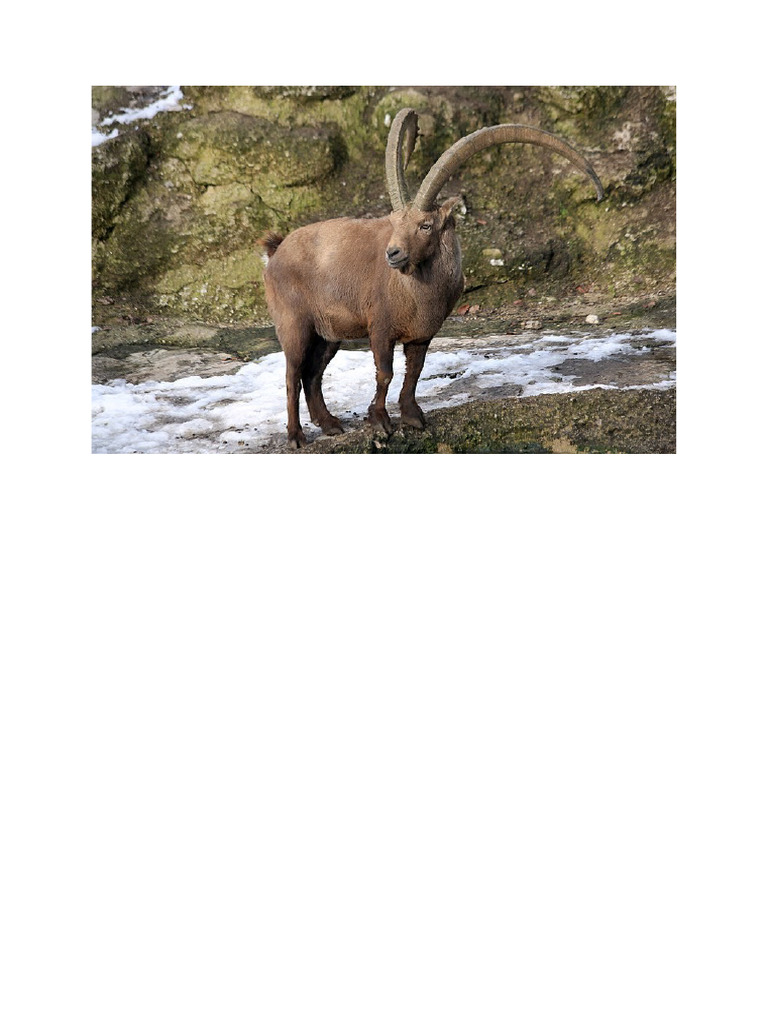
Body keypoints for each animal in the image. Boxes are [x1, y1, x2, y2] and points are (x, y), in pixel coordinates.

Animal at [261, 108, 604, 447]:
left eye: (425, 225)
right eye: (394, 221)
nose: (393, 254)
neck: (417, 293)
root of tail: (276, 251)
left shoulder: (422, 334)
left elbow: (415, 371)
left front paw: (413, 418)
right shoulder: (380, 328)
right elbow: (384, 373)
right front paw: (380, 422)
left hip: (328, 333)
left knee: (312, 374)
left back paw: (330, 424)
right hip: (294, 323)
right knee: (292, 375)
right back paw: (296, 437)